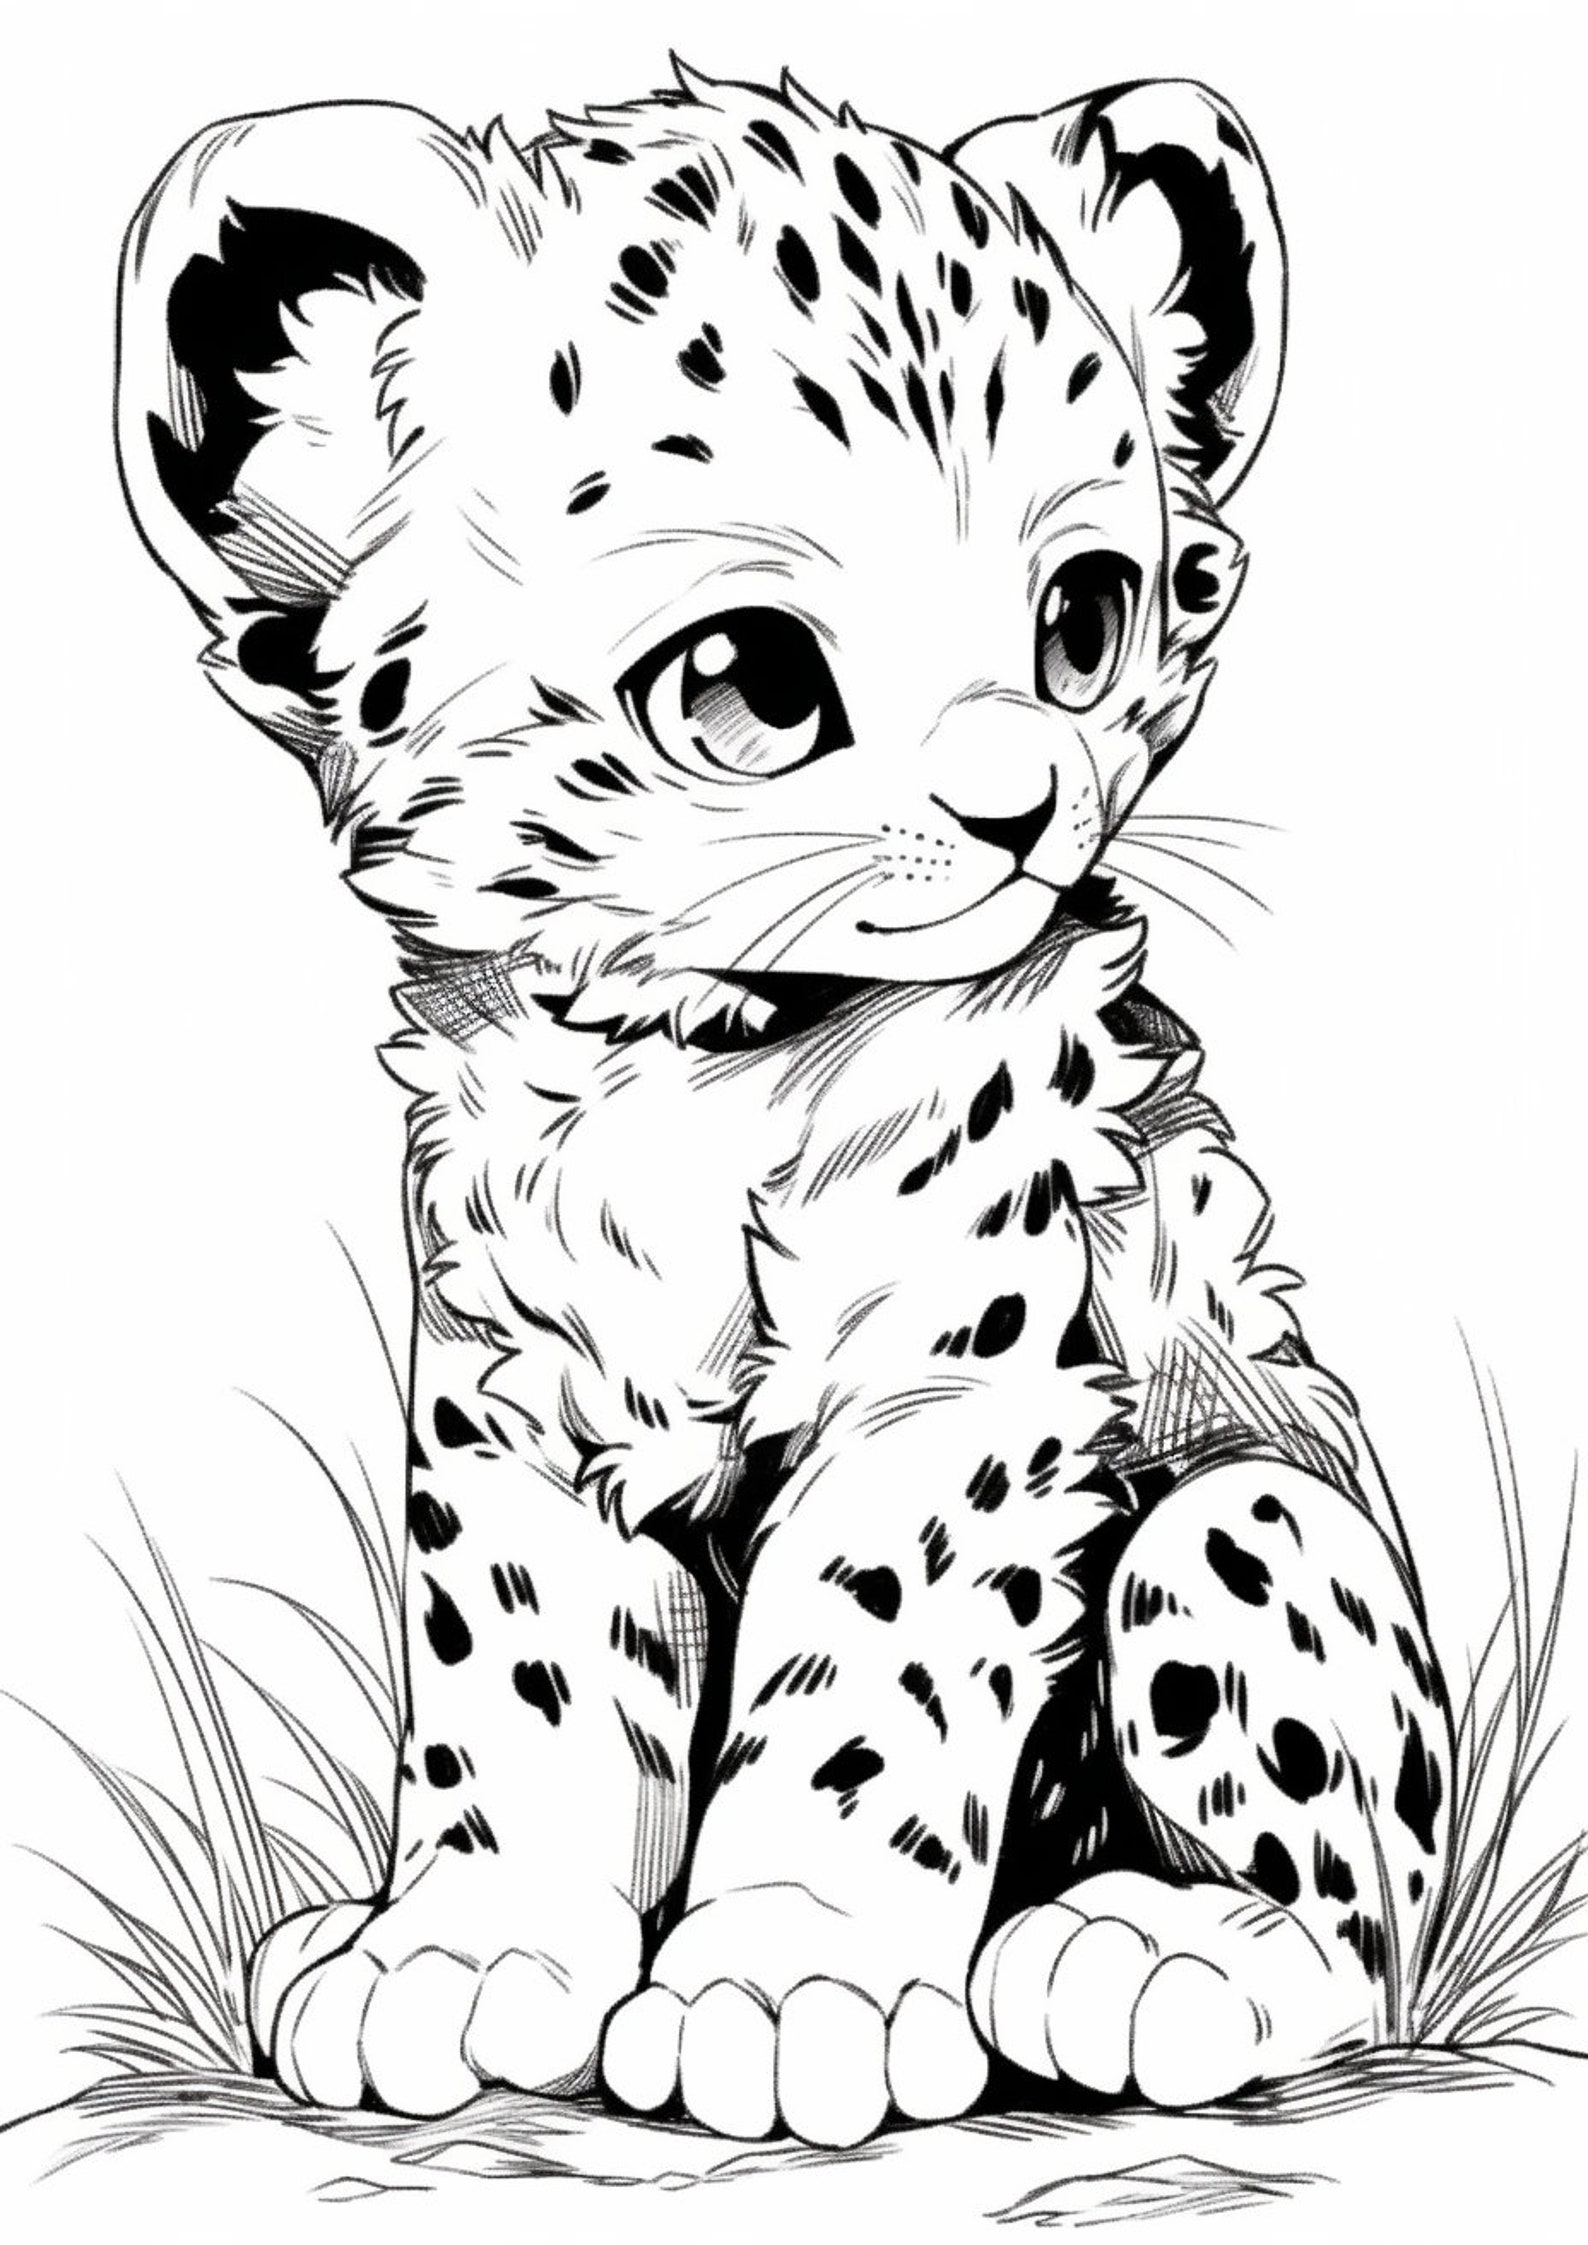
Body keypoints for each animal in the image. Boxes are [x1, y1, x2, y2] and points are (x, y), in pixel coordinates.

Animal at [115, 59, 1454, 2147]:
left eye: (1084, 618)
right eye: (750, 682)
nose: (1019, 802)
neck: (696, 1078)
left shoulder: (959, 1377)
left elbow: (866, 1667)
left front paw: (787, 1979)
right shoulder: (516, 1382)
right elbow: (516, 1662)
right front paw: (466, 1950)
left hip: (1244, 1528)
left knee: (1353, 1909)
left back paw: (1153, 1953)